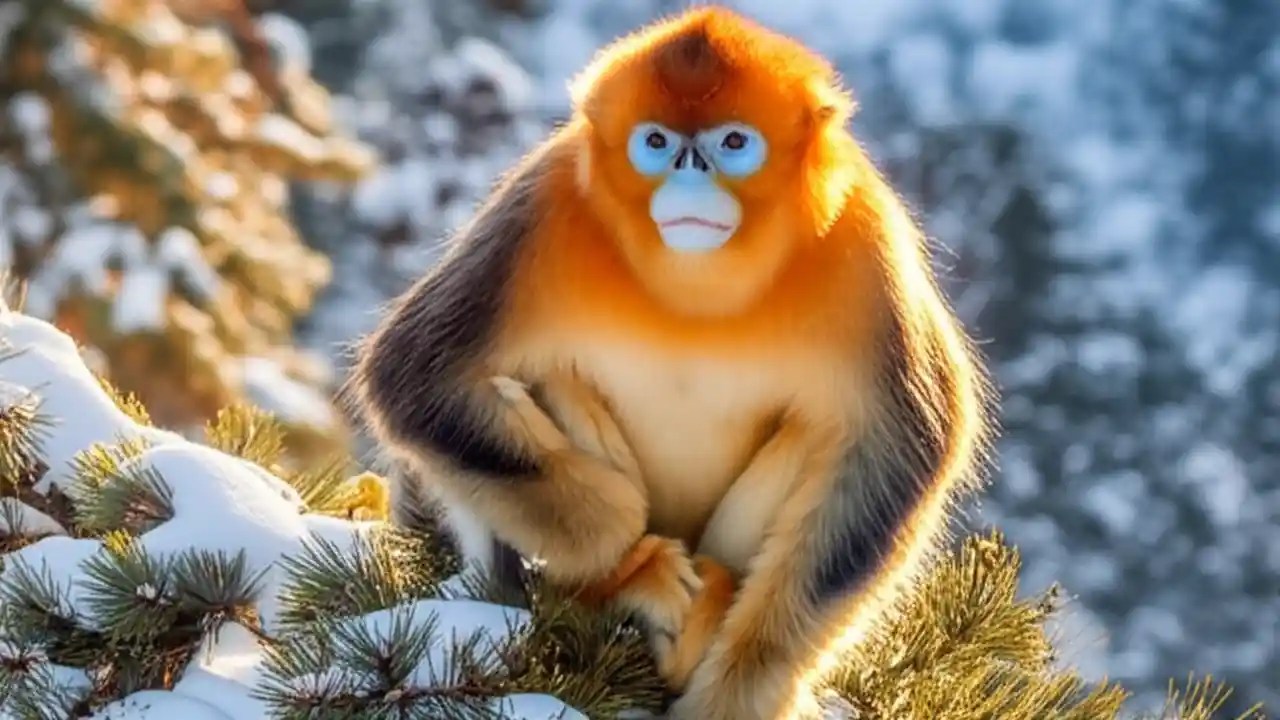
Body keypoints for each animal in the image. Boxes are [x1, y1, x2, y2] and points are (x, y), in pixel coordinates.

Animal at [347, 6, 993, 719]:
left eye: (734, 143)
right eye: (655, 142)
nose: (689, 173)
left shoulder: (864, 240)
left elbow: (899, 450)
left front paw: (742, 688)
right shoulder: (545, 206)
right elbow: (413, 374)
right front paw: (622, 544)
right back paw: (625, 587)